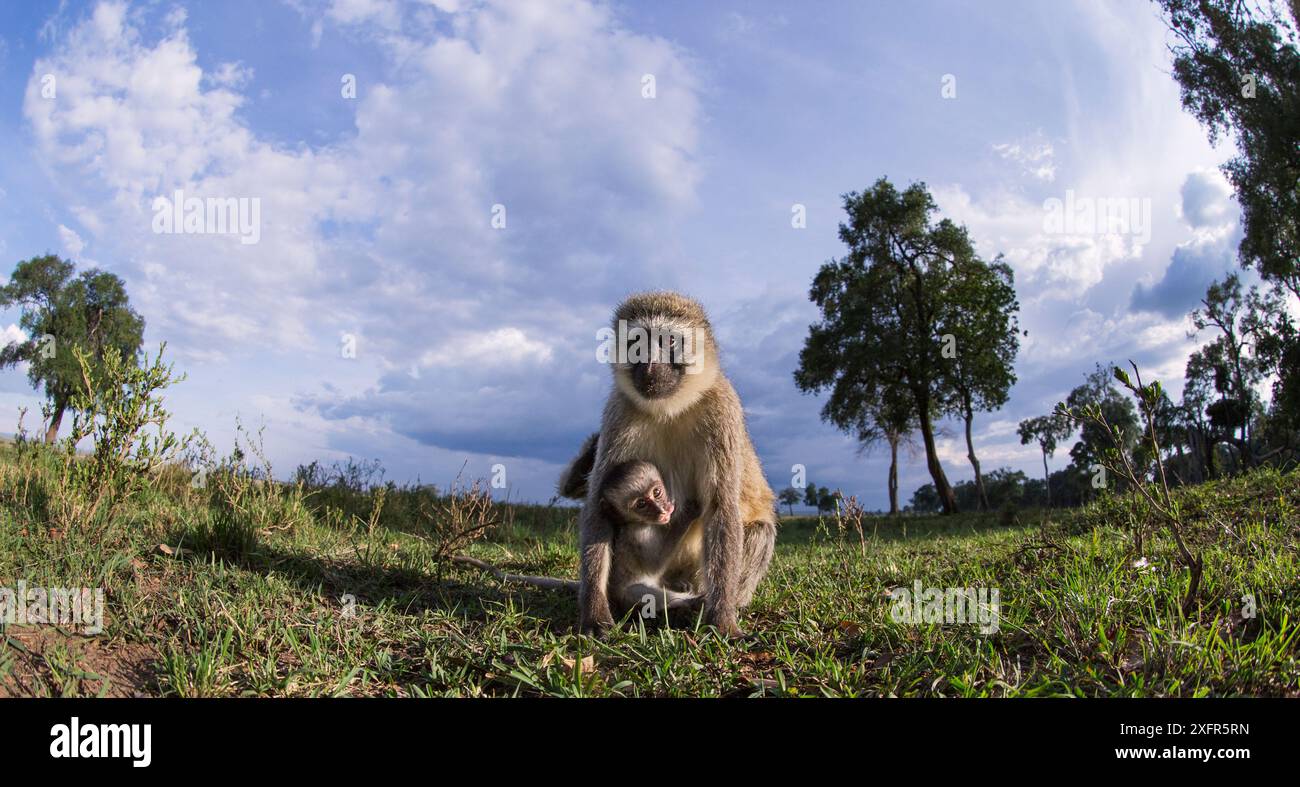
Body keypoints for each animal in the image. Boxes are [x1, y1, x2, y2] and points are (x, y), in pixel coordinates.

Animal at [574, 291, 777, 637]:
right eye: (636, 343)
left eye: (668, 341)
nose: (650, 367)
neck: (670, 408)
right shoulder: (619, 411)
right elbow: (599, 502)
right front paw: (594, 611)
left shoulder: (722, 407)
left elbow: (721, 507)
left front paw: (722, 620)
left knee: (759, 531)